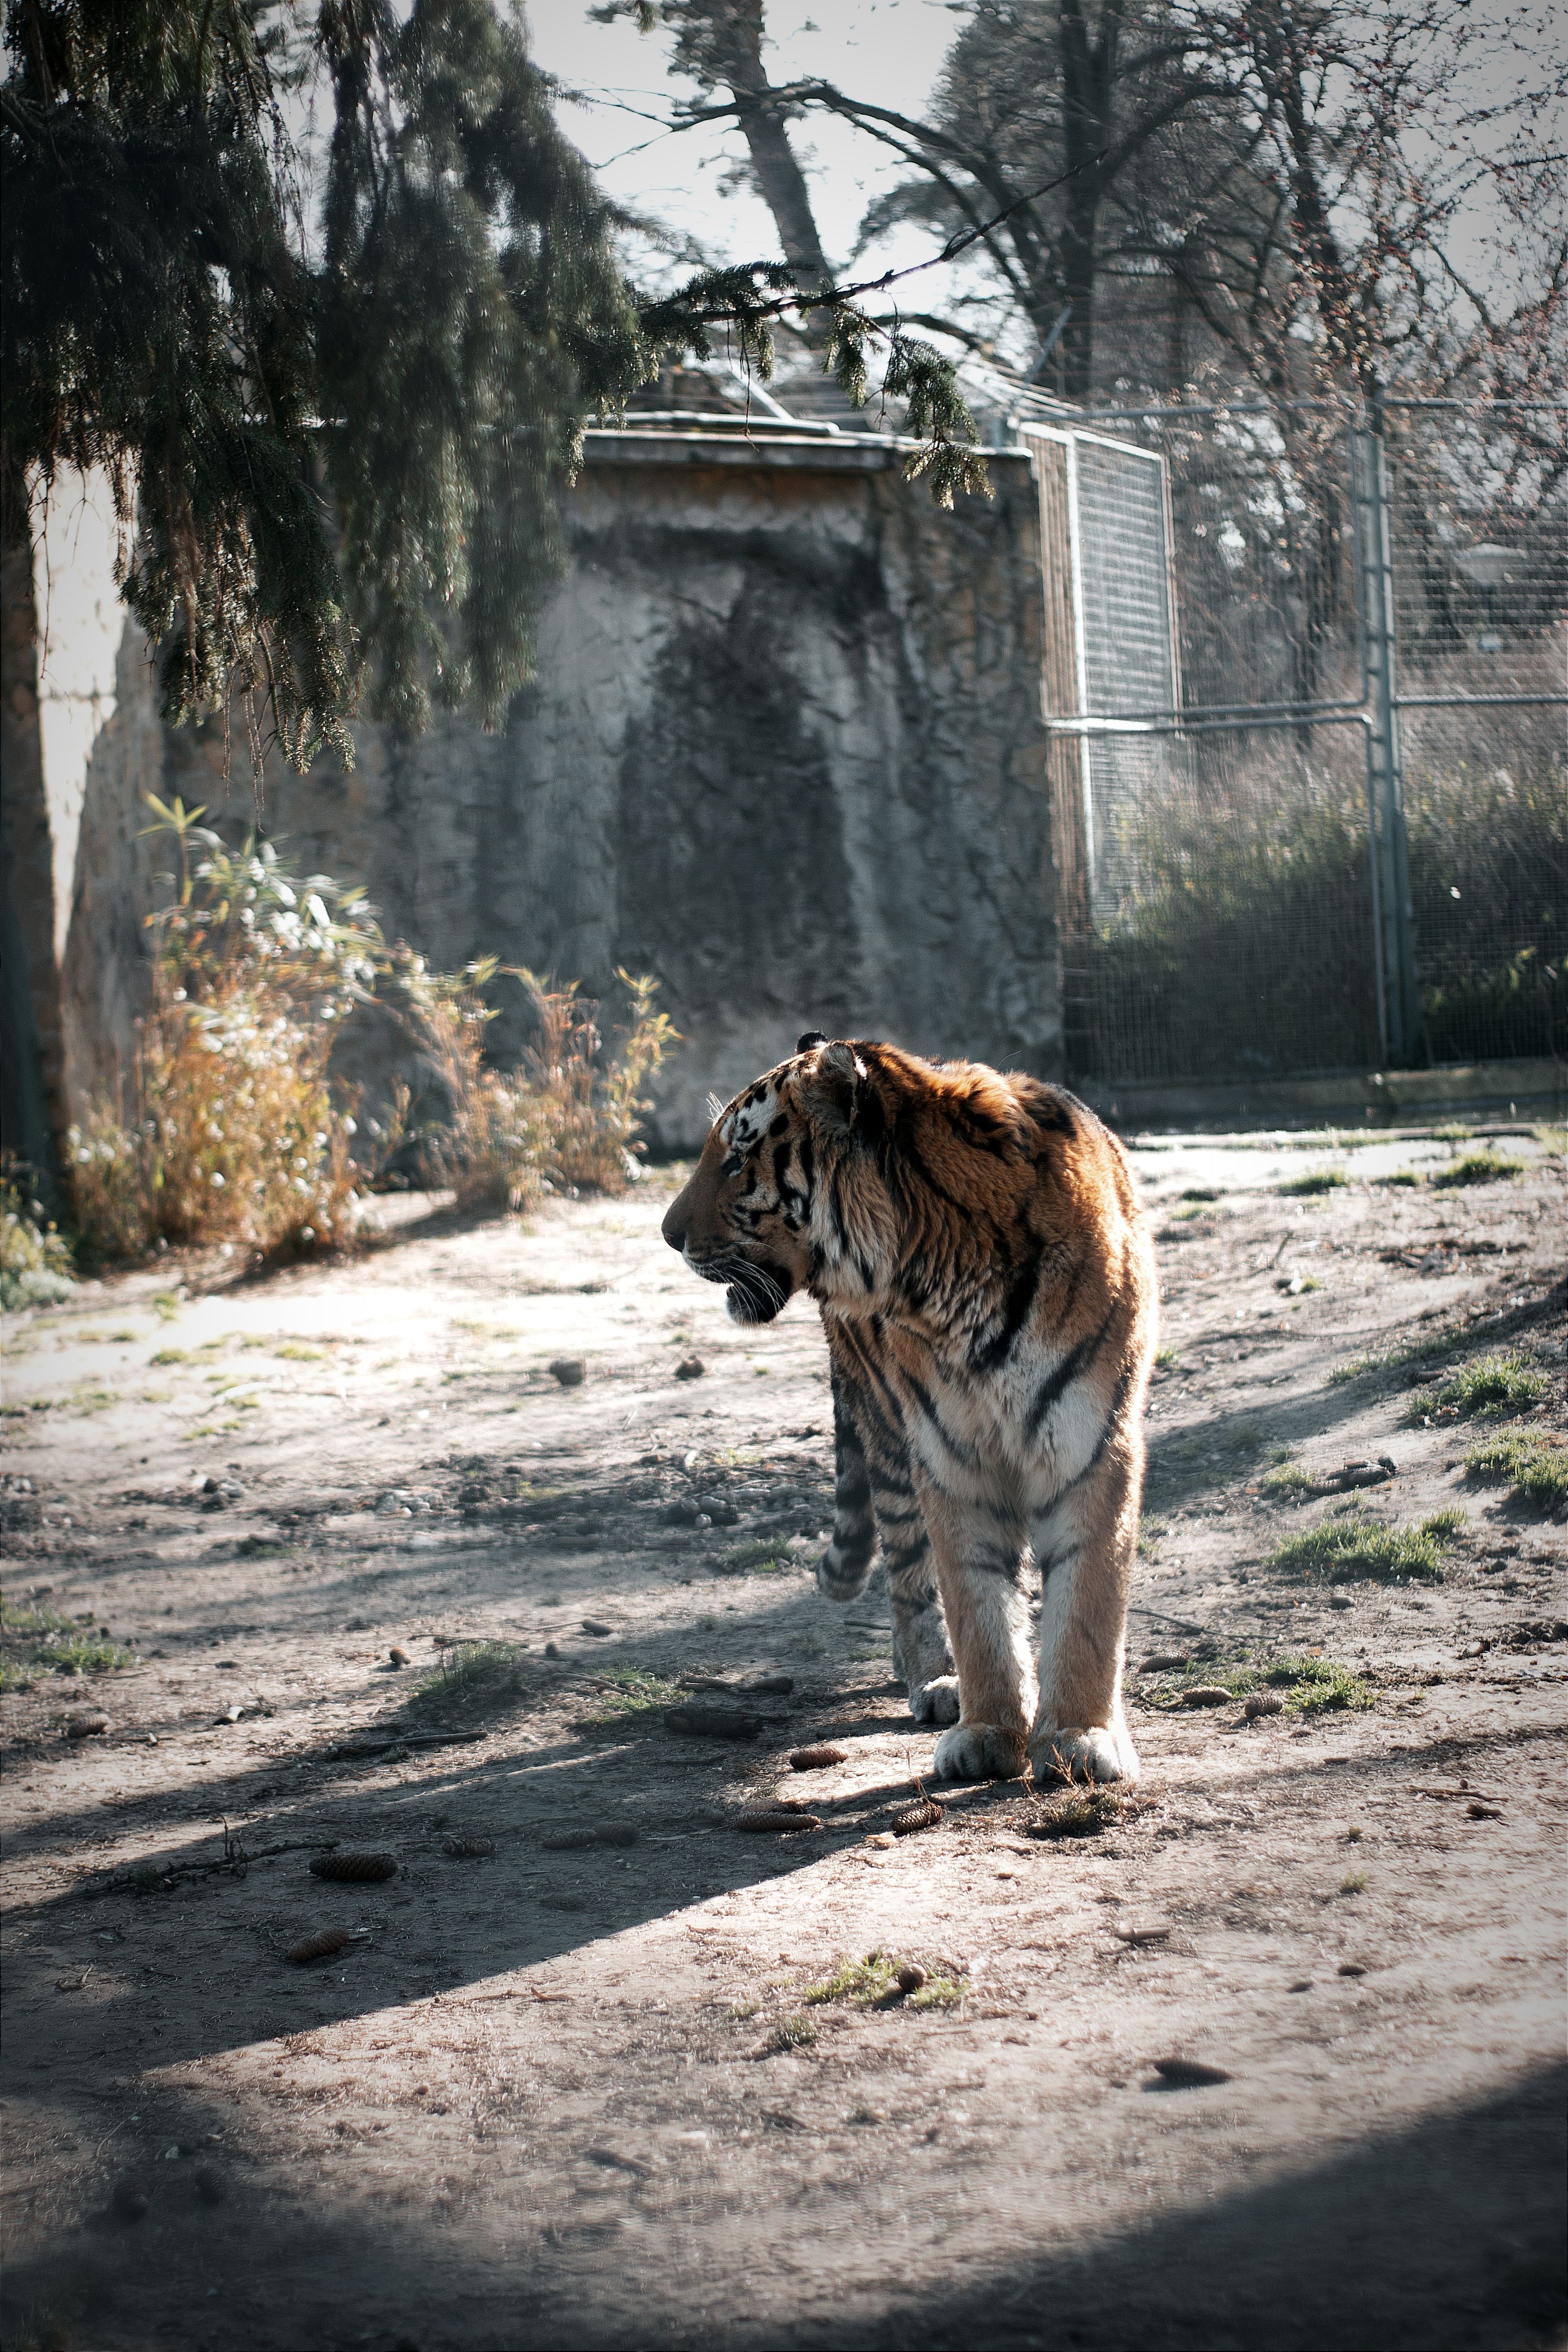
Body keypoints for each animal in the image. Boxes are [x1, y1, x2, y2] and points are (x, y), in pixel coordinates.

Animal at [660, 1032, 1158, 1785]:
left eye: (738, 1159)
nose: (666, 1234)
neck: (946, 1283)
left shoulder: (1091, 1446)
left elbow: (1086, 1604)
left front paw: (1079, 1735)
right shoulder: (951, 1457)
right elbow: (975, 1604)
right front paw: (987, 1729)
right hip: (891, 1444)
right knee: (909, 1578)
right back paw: (932, 1678)